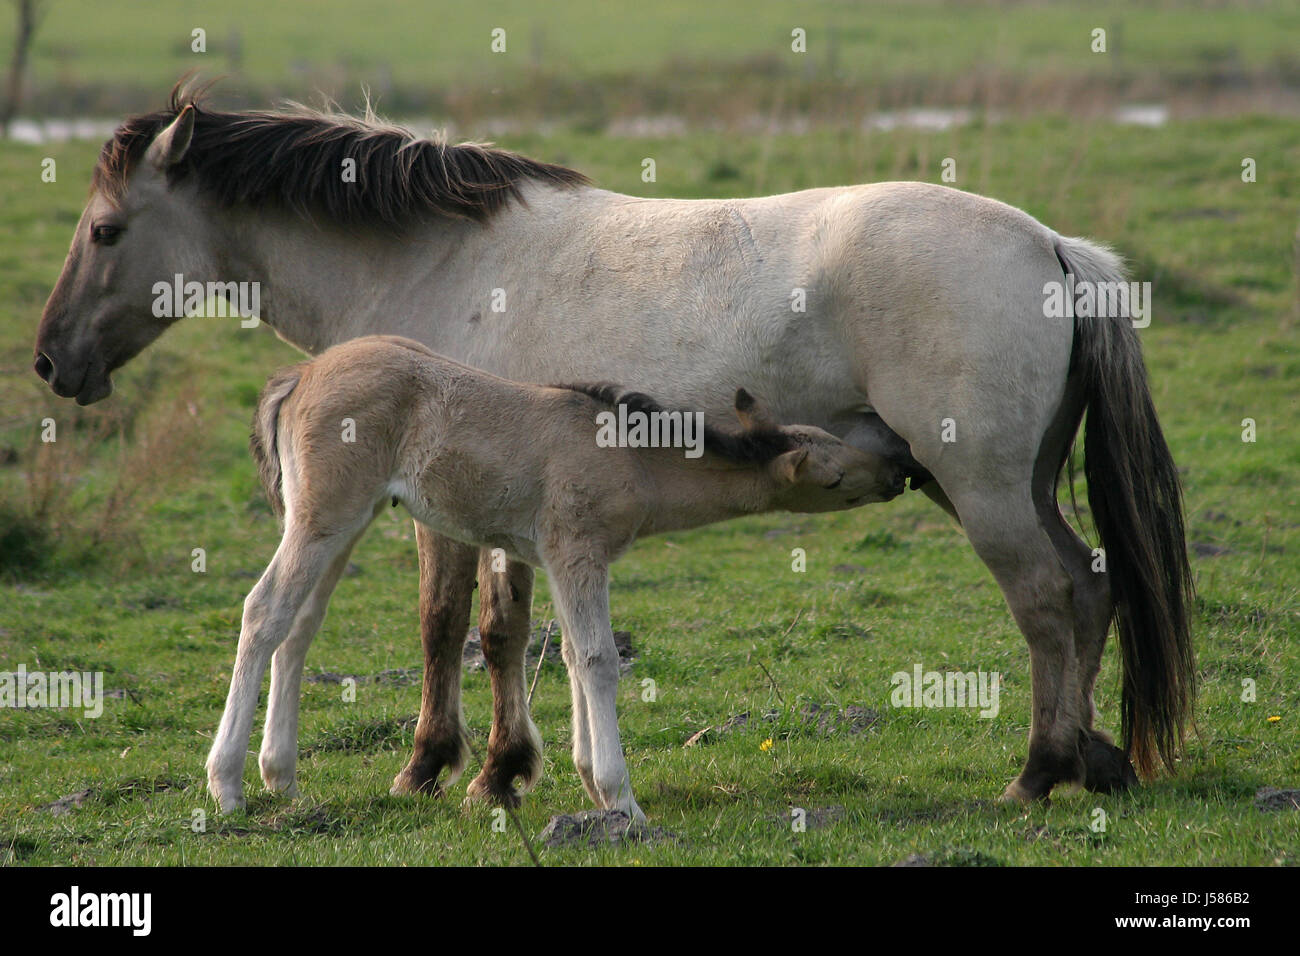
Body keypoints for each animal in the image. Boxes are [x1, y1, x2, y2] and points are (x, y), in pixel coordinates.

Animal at [207, 334, 909, 817]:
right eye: (834, 477)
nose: (899, 471)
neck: (633, 458)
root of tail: (299, 375)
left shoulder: (564, 559)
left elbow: (571, 652)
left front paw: (591, 784)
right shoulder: (576, 548)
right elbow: (598, 658)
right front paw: (621, 799)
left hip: (342, 523)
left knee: (298, 627)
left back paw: (281, 776)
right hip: (324, 517)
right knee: (263, 611)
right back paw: (228, 785)